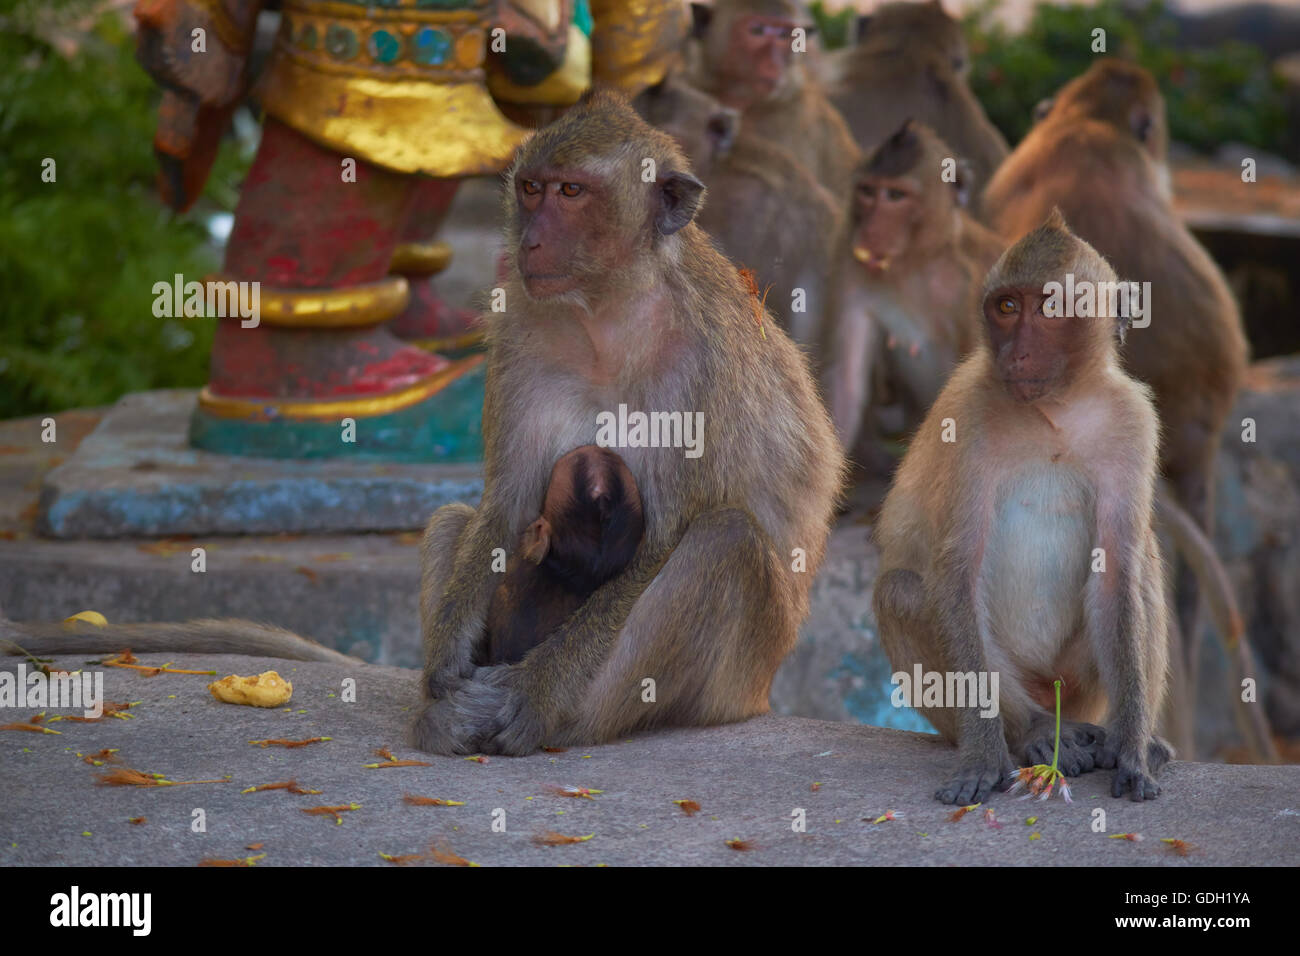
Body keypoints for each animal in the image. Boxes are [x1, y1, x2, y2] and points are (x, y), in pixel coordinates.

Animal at [820, 119, 1004, 466]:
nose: (869, 230)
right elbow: (847, 384)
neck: (917, 259)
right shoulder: (848, 261)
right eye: (867, 191)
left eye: (895, 195)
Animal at [873, 210, 1172, 804]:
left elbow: (1116, 572)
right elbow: (958, 571)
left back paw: (1132, 736)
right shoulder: (966, 416)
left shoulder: (1134, 419)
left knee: (1141, 563)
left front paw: (1132, 752)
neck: (1056, 409)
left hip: (1077, 684)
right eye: (1007, 307)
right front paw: (984, 759)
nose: (1017, 353)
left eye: (1049, 308)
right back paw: (1033, 733)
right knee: (903, 590)